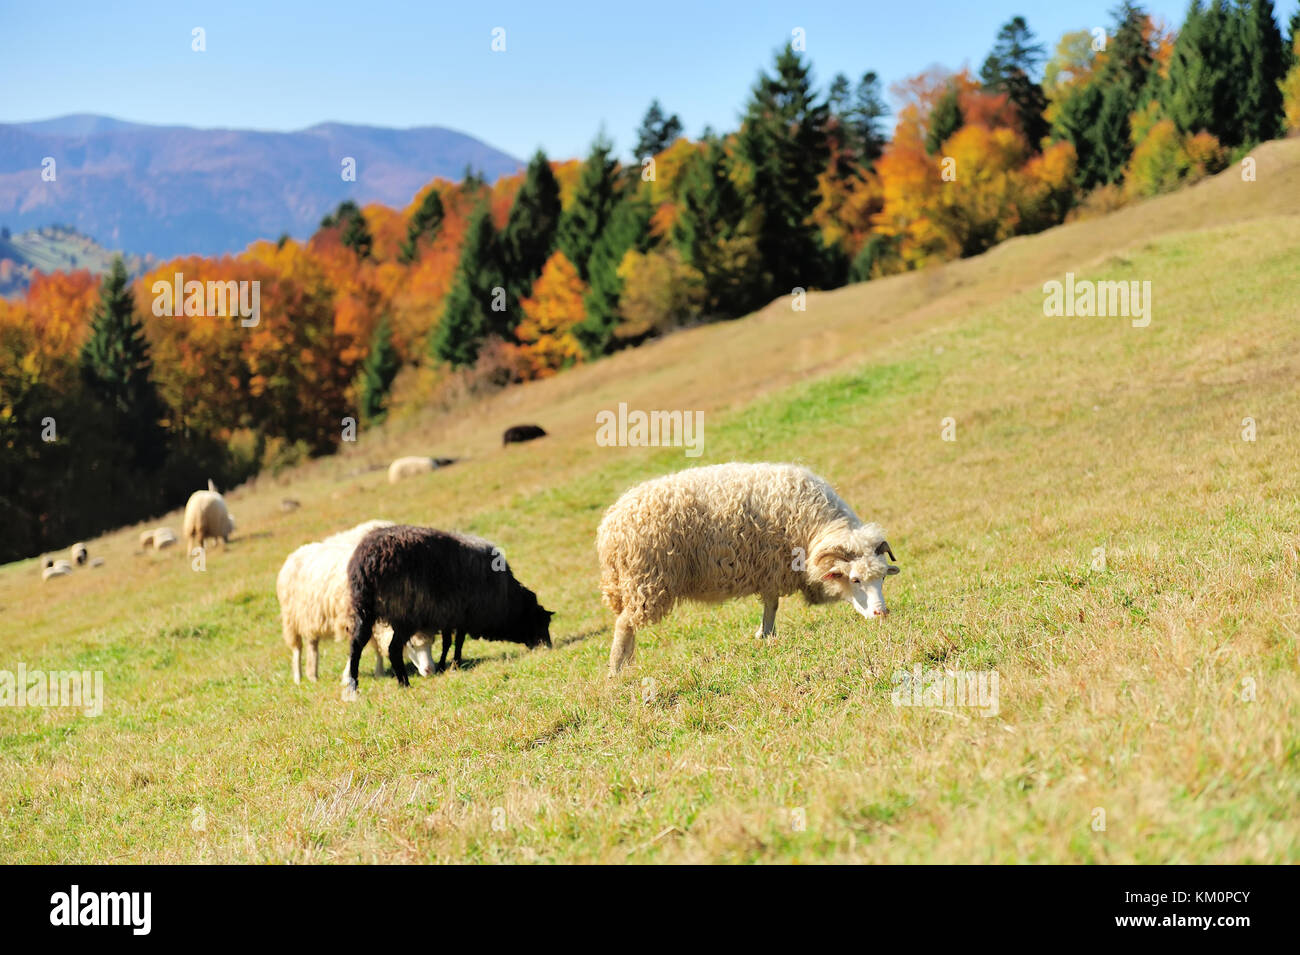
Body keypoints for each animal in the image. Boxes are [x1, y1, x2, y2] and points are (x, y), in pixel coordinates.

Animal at [277, 520, 435, 685]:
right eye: (411, 644)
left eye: (433, 641)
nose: (430, 671)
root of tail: (297, 552)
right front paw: (348, 677)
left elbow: (376, 647)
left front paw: (379, 672)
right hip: (291, 619)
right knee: (297, 649)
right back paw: (298, 678)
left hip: (311, 616)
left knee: (312, 644)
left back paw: (313, 675)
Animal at [343, 525, 552, 699]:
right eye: (541, 622)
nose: (548, 648)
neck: (506, 599)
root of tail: (367, 561)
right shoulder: (463, 615)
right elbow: (457, 642)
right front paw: (455, 664)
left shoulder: (448, 616)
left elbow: (447, 642)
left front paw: (443, 665)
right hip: (405, 614)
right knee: (393, 649)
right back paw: (404, 684)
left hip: (364, 610)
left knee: (356, 645)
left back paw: (353, 687)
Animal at [596, 462, 901, 675]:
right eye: (855, 579)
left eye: (883, 579)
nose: (883, 614)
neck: (815, 526)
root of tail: (609, 527)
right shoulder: (773, 566)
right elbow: (772, 603)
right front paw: (765, 634)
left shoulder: (769, 571)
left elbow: (771, 604)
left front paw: (765, 634)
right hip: (646, 580)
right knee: (624, 624)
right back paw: (617, 670)